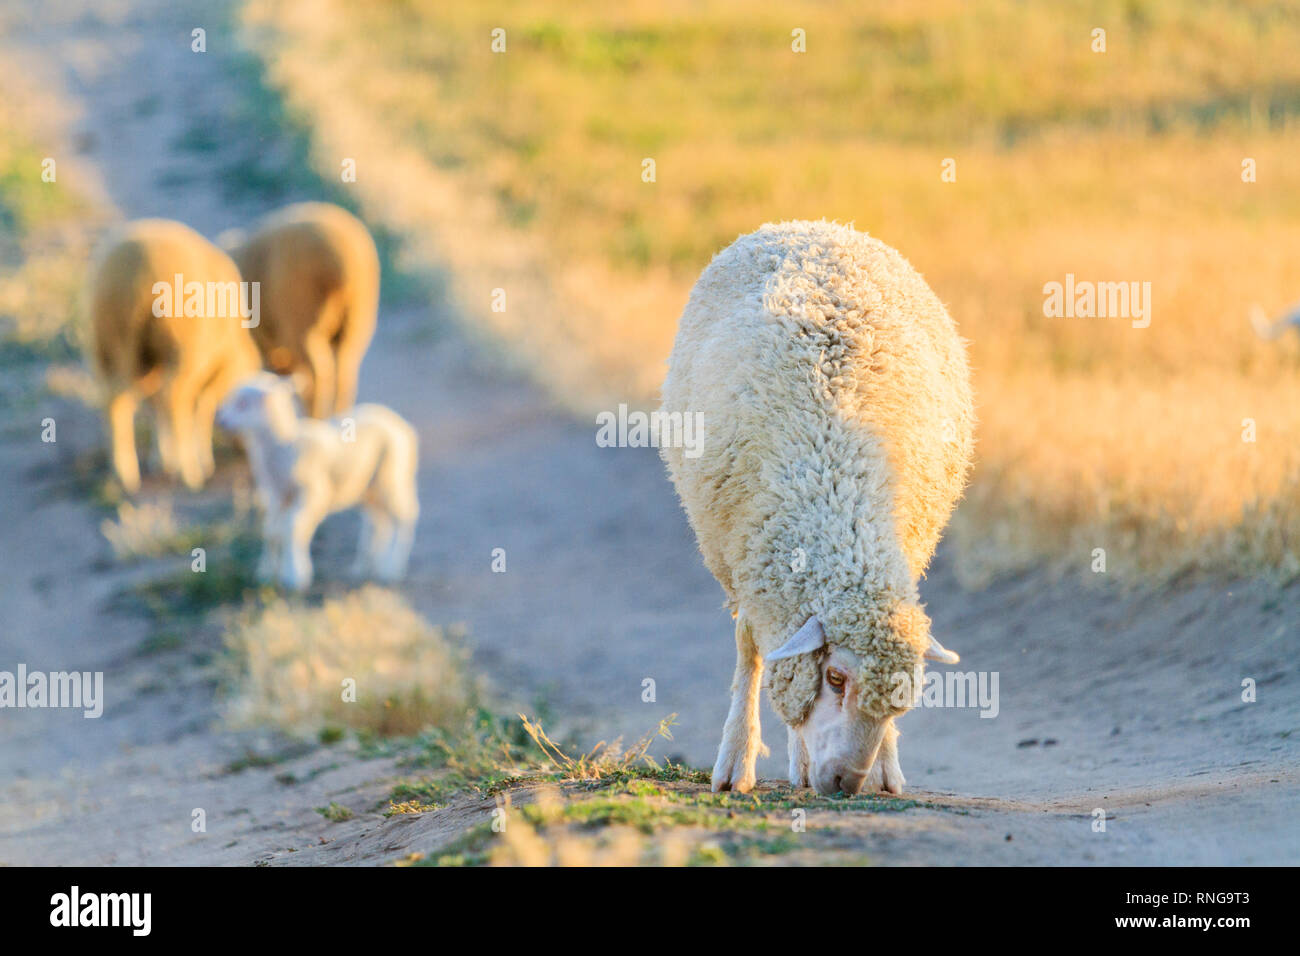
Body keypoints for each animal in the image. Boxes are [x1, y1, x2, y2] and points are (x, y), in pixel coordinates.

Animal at [88, 219, 262, 493]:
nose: (245, 452)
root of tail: (131, 275)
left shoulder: (151, 368)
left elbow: (157, 407)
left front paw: (162, 458)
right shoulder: (209, 368)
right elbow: (201, 409)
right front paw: (201, 460)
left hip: (109, 342)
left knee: (116, 399)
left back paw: (123, 473)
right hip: (181, 343)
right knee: (174, 396)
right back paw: (189, 473)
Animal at [215, 373, 418, 591]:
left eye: (243, 403)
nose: (220, 419)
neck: (286, 446)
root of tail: (401, 425)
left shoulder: (312, 493)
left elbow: (292, 528)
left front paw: (295, 575)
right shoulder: (276, 494)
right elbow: (271, 531)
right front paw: (266, 574)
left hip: (391, 476)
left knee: (405, 515)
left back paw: (392, 568)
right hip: (367, 486)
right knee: (380, 521)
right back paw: (365, 567)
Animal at [224, 202, 380, 419]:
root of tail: (341, 260)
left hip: (301, 317)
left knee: (317, 375)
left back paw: (314, 417)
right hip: (356, 319)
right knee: (345, 371)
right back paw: (339, 414)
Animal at [659, 220, 975, 796]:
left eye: (902, 699)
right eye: (834, 678)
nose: (845, 782)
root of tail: (813, 227)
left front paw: (886, 767)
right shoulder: (749, 555)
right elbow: (751, 654)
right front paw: (735, 760)